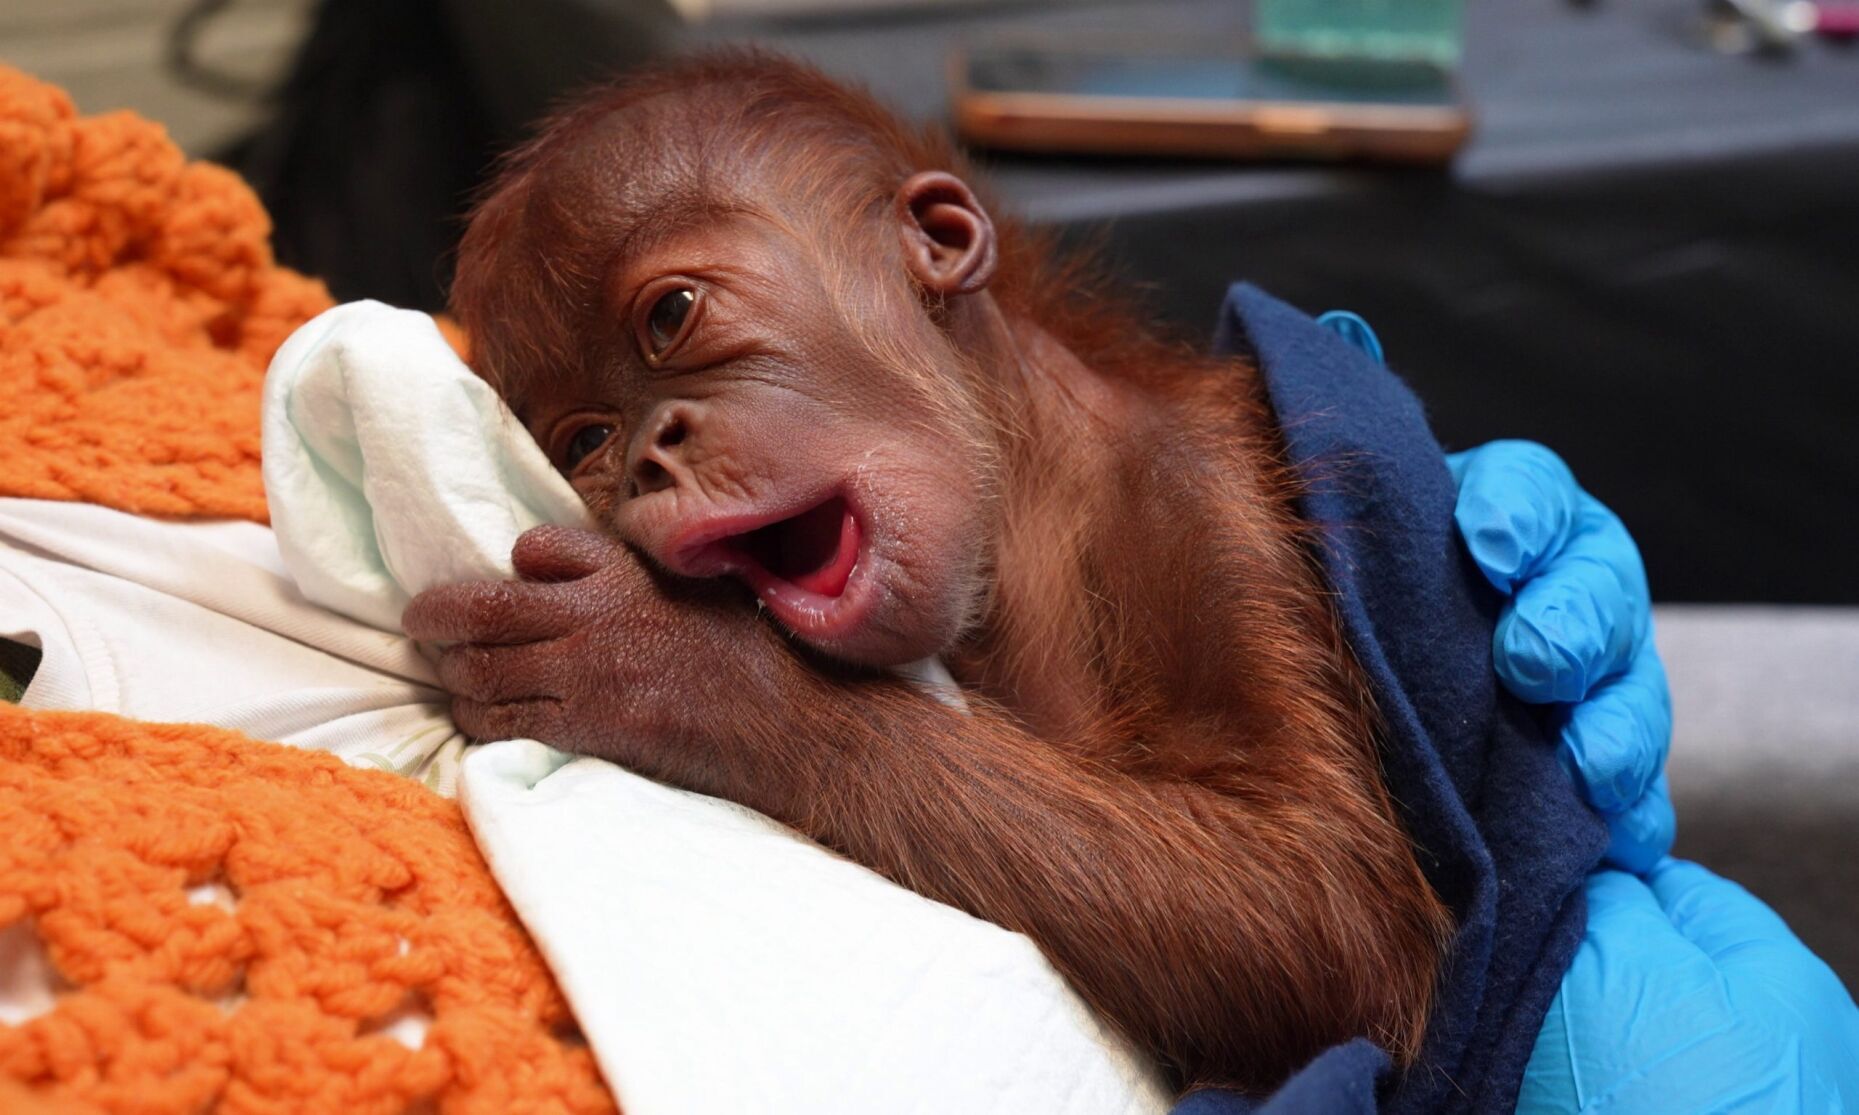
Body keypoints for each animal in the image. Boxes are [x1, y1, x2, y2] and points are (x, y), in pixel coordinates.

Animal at [403, 49, 1454, 1093]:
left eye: (672, 313)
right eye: (586, 441)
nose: (648, 459)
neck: (1029, 496)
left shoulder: (1203, 489)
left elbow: (1320, 901)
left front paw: (668, 662)